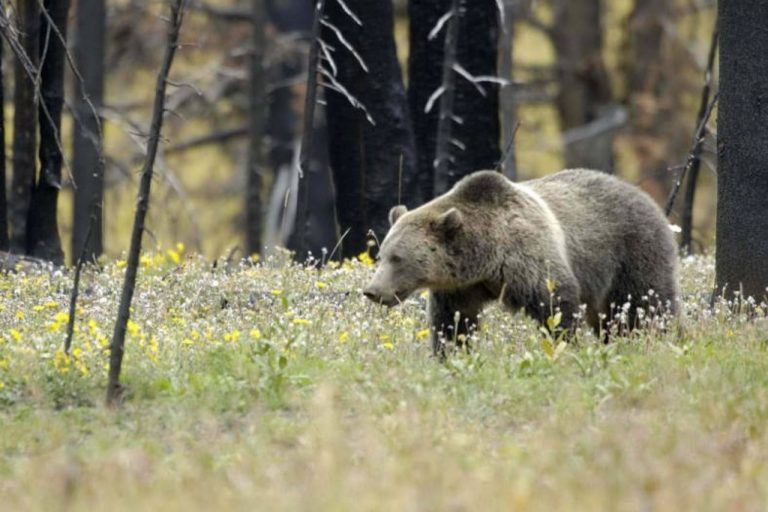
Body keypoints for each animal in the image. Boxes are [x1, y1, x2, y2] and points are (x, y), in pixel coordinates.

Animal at [363, 169, 680, 356]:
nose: (372, 291)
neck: (485, 257)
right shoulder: (460, 287)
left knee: (646, 304)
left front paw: (566, 346)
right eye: (382, 255)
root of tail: (644, 195)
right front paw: (450, 353)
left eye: (398, 258)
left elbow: (555, 304)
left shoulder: (527, 258)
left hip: (632, 252)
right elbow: (453, 322)